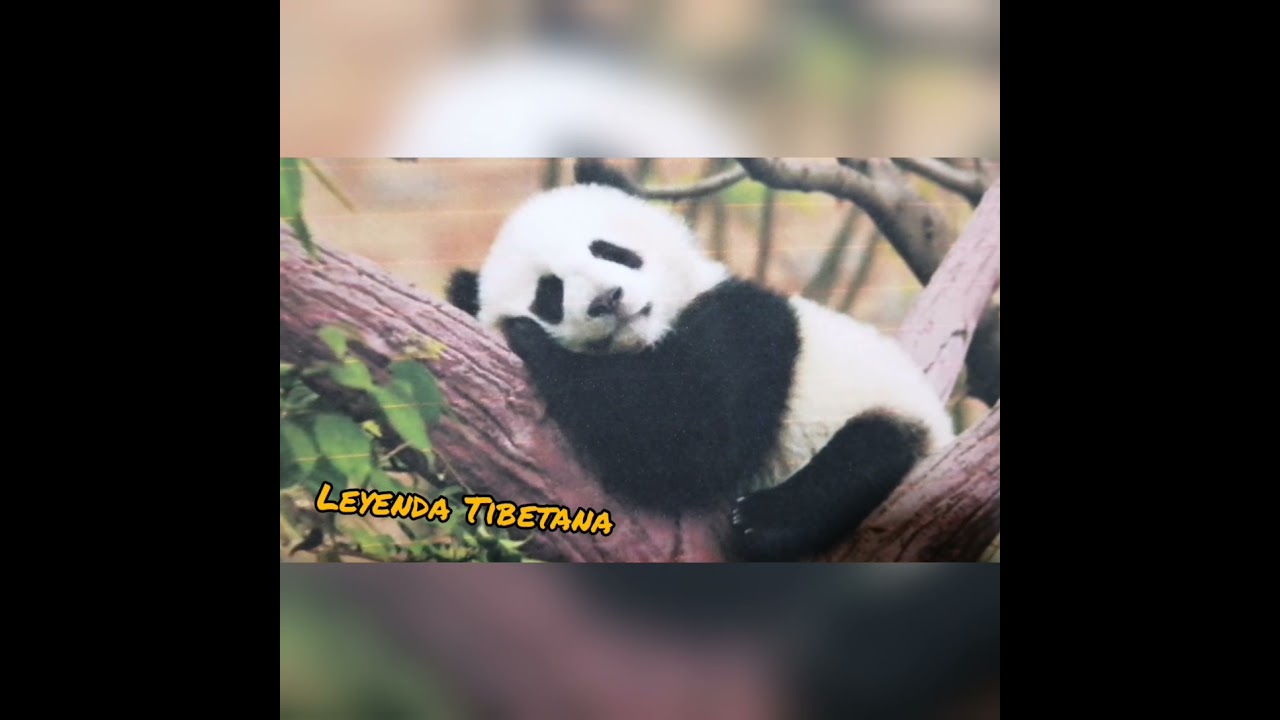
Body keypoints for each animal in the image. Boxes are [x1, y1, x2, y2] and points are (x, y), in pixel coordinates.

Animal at [446, 182, 955, 561]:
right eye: (549, 293)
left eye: (609, 250)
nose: (607, 298)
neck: (650, 340)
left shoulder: (750, 329)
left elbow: (693, 443)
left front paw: (530, 340)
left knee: (868, 451)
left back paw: (763, 519)